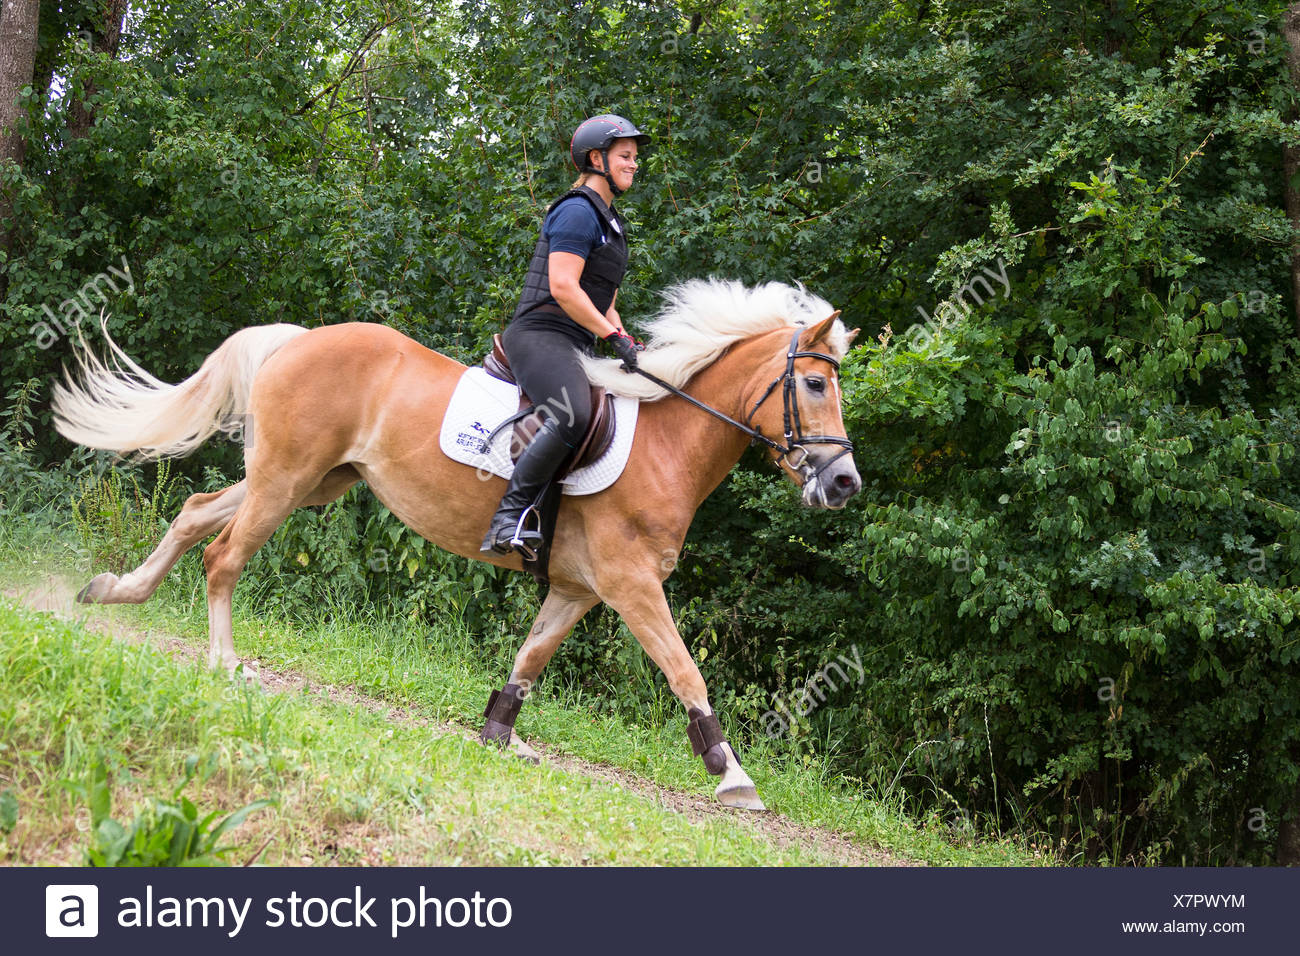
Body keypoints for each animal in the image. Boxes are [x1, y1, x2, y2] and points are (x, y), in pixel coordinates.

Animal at [51, 279, 862, 811]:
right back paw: (225, 662)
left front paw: (503, 734)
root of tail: (300, 338)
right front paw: (732, 774)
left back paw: (115, 589)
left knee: (194, 513)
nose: (845, 482)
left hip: (310, 480)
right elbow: (685, 671)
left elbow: (530, 658)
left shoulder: (577, 588)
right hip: (286, 478)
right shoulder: (631, 585)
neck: (669, 443)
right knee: (223, 557)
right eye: (816, 385)